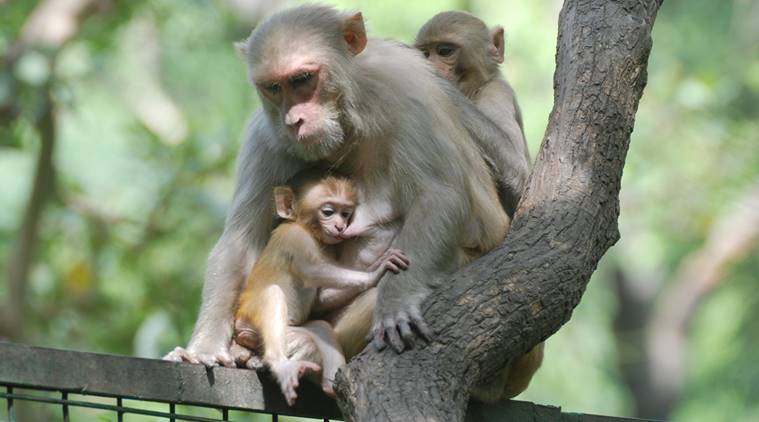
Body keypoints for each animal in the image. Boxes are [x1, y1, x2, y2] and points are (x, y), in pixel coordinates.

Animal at [234, 174, 409, 405]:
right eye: (328, 212)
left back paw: (330, 386)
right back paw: (280, 364)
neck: (304, 228)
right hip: (251, 320)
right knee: (273, 295)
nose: (340, 226)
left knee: (320, 327)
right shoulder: (295, 239)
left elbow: (321, 298)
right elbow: (313, 271)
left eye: (345, 214)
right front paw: (376, 272)